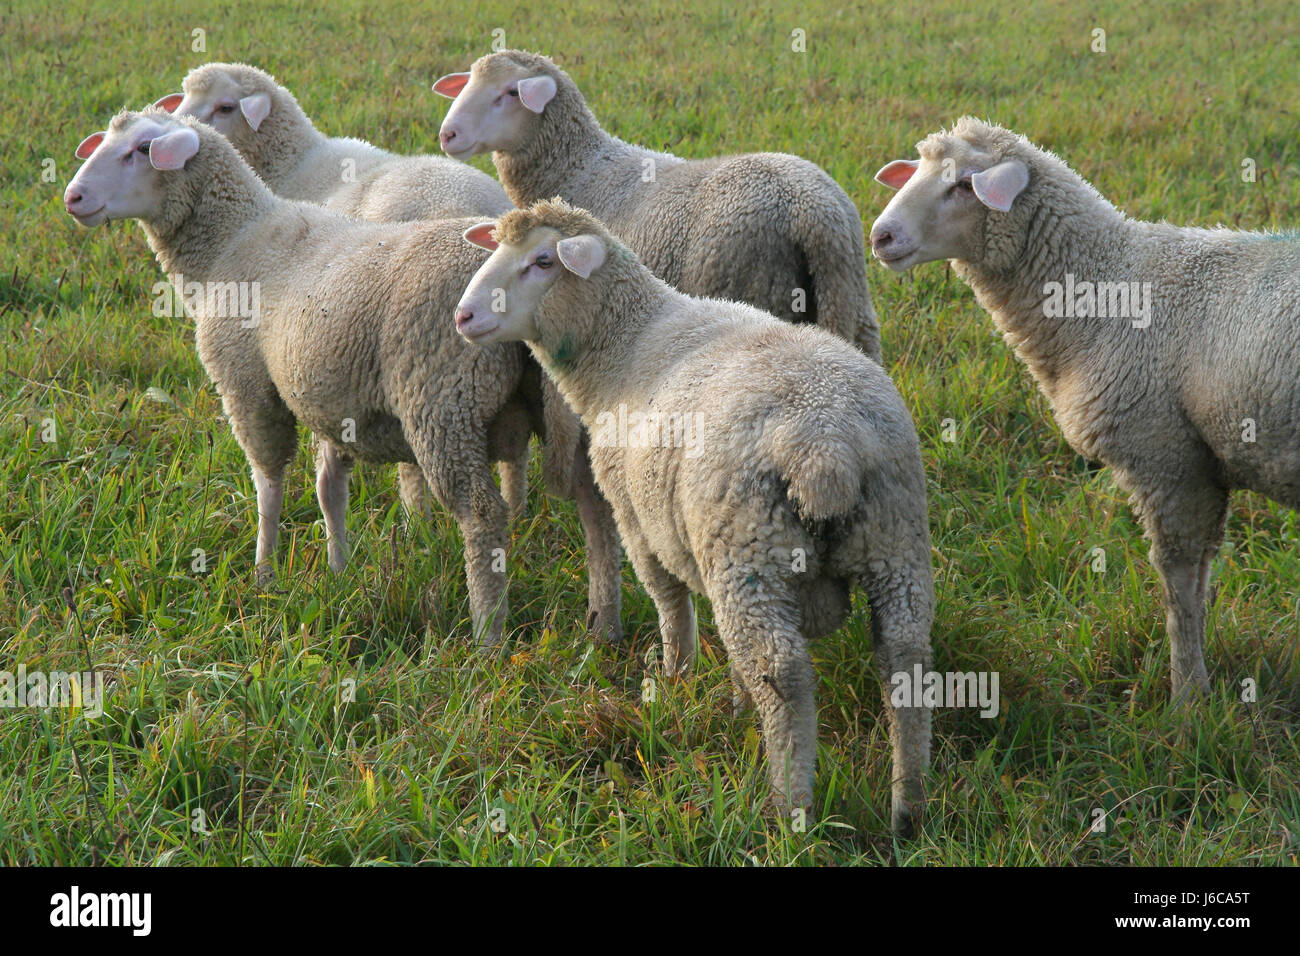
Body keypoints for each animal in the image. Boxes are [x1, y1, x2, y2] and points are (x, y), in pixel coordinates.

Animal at [63, 109, 624, 646]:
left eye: (141, 149)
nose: (73, 197)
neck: (232, 241)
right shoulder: (333, 396)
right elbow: (329, 487)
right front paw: (339, 569)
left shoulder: (247, 384)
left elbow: (269, 485)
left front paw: (264, 575)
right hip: (566, 406)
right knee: (598, 512)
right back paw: (603, 625)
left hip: (443, 402)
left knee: (484, 515)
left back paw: (488, 634)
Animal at [434, 50, 883, 362]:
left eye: (510, 93)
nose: (447, 135)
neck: (579, 168)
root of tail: (811, 212)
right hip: (849, 297)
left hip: (755, 285)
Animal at [453, 198, 934, 836]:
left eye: (541, 262)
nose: (464, 316)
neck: (625, 345)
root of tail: (827, 447)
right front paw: (734, 703)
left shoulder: (637, 520)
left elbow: (669, 602)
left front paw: (675, 678)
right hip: (894, 538)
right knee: (905, 662)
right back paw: (909, 808)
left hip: (749, 550)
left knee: (783, 673)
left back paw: (790, 812)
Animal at [869, 116, 1300, 700]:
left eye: (962, 185)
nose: (881, 237)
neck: (1106, 287)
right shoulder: (1202, 467)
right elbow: (1201, 578)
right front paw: (1197, 683)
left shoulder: (1167, 459)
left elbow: (1179, 584)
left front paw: (1187, 696)